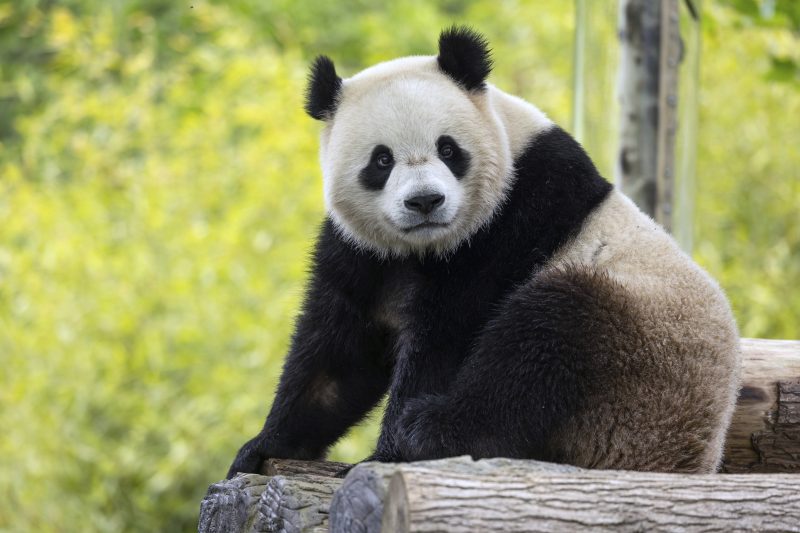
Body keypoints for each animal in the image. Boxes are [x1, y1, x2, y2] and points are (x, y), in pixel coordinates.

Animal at [227, 27, 741, 478]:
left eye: (448, 149)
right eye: (381, 160)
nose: (425, 201)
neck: (424, 247)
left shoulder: (511, 220)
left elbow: (448, 337)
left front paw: (387, 454)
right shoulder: (364, 251)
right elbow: (339, 352)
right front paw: (263, 448)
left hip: (641, 358)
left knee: (544, 340)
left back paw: (431, 429)